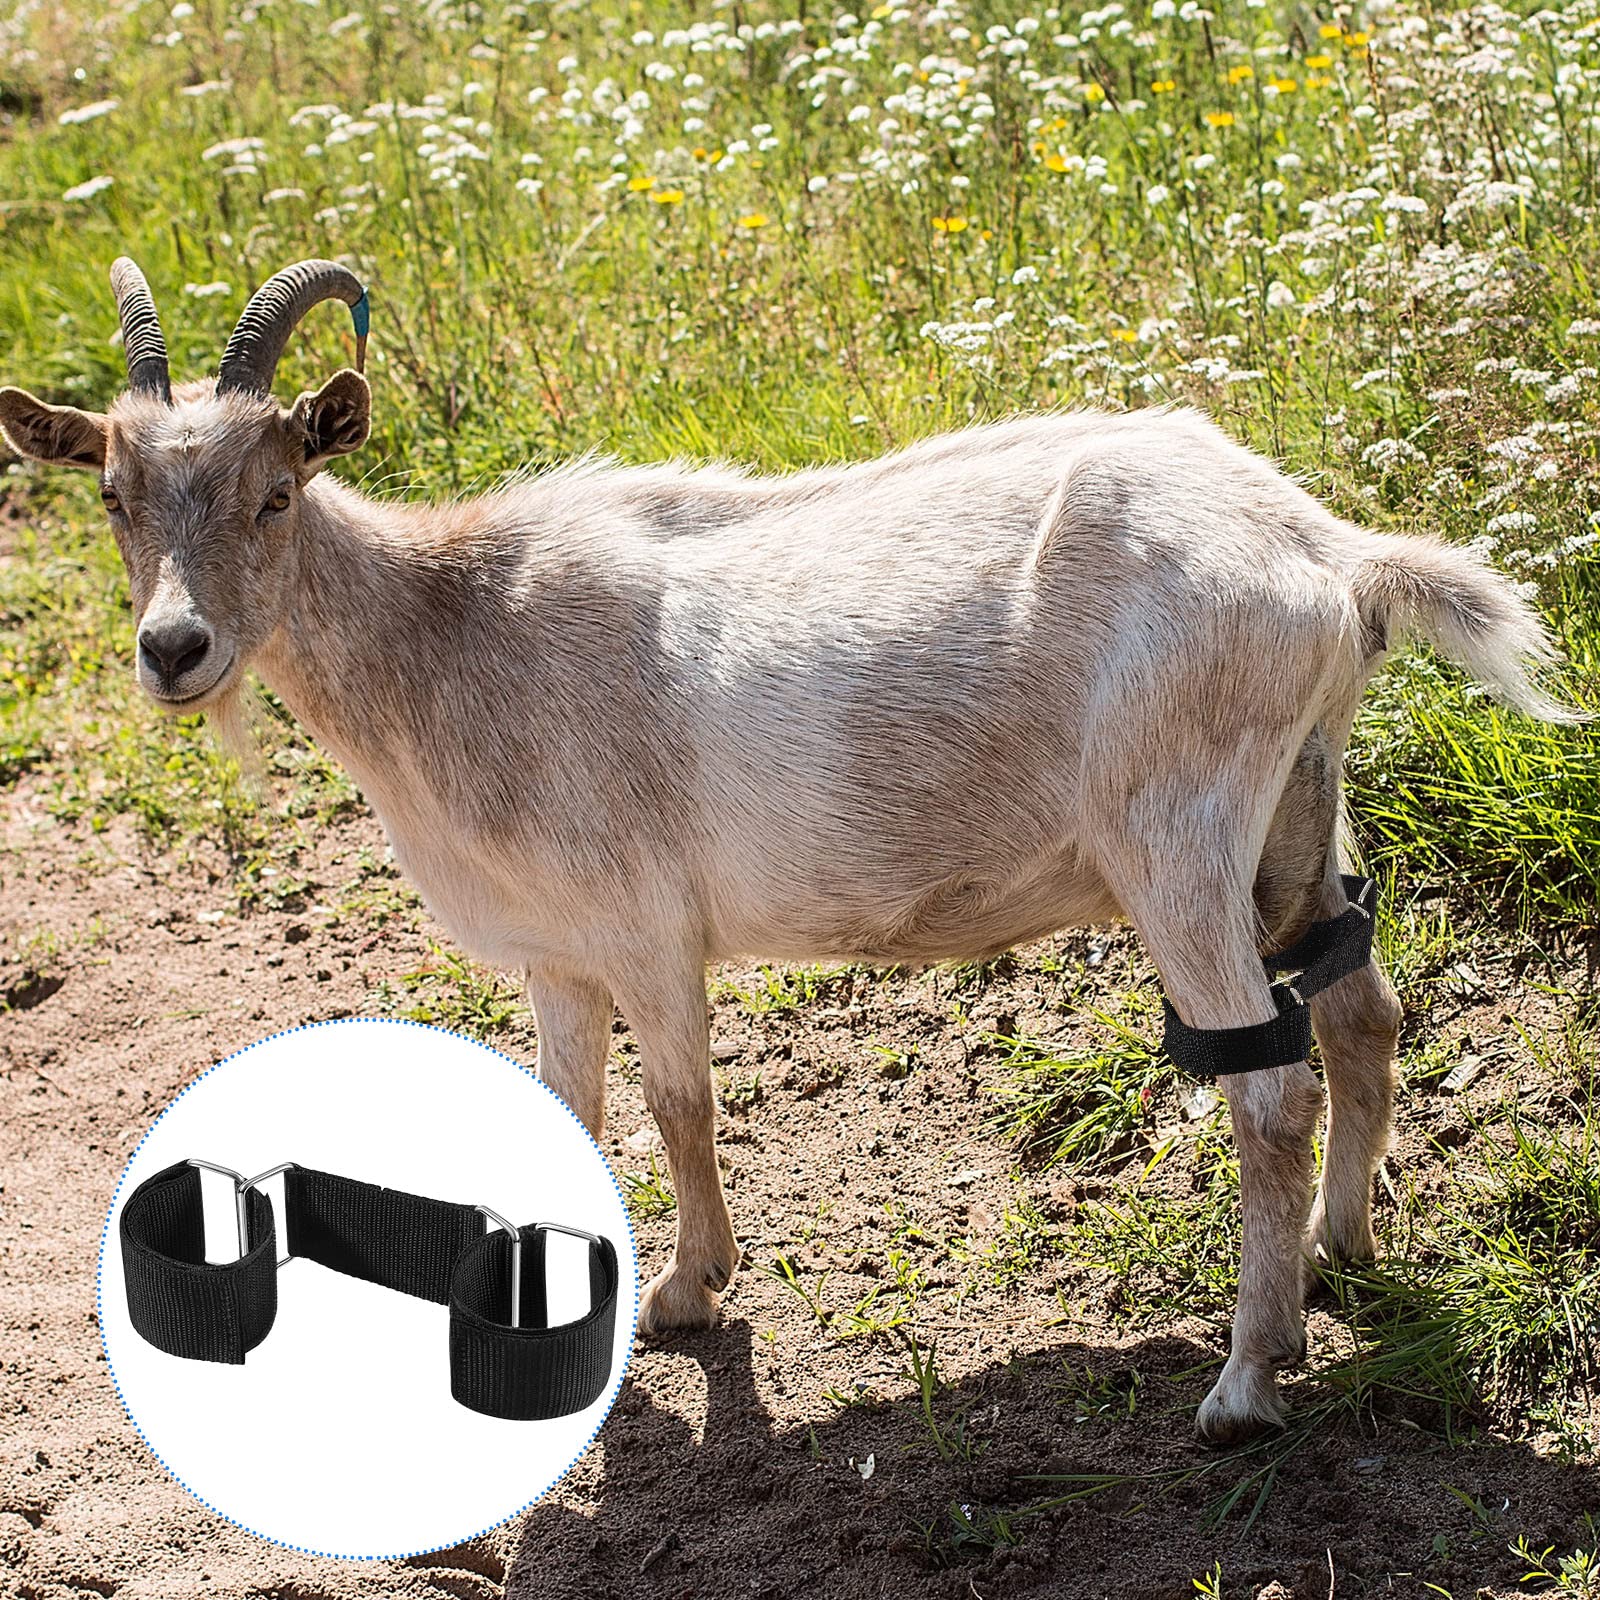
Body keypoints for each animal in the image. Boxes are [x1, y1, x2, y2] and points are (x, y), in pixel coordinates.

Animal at [1, 259, 1579, 1442]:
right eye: (112, 499)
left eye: (276, 492)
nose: (174, 650)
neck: (457, 632)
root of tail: (1330, 558)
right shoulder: (552, 952)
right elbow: (565, 1104)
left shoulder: (645, 926)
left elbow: (679, 1103)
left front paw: (688, 1295)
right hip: (1295, 813)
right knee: (1362, 1005)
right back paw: (1337, 1253)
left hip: (1174, 835)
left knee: (1270, 1086)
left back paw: (1247, 1381)